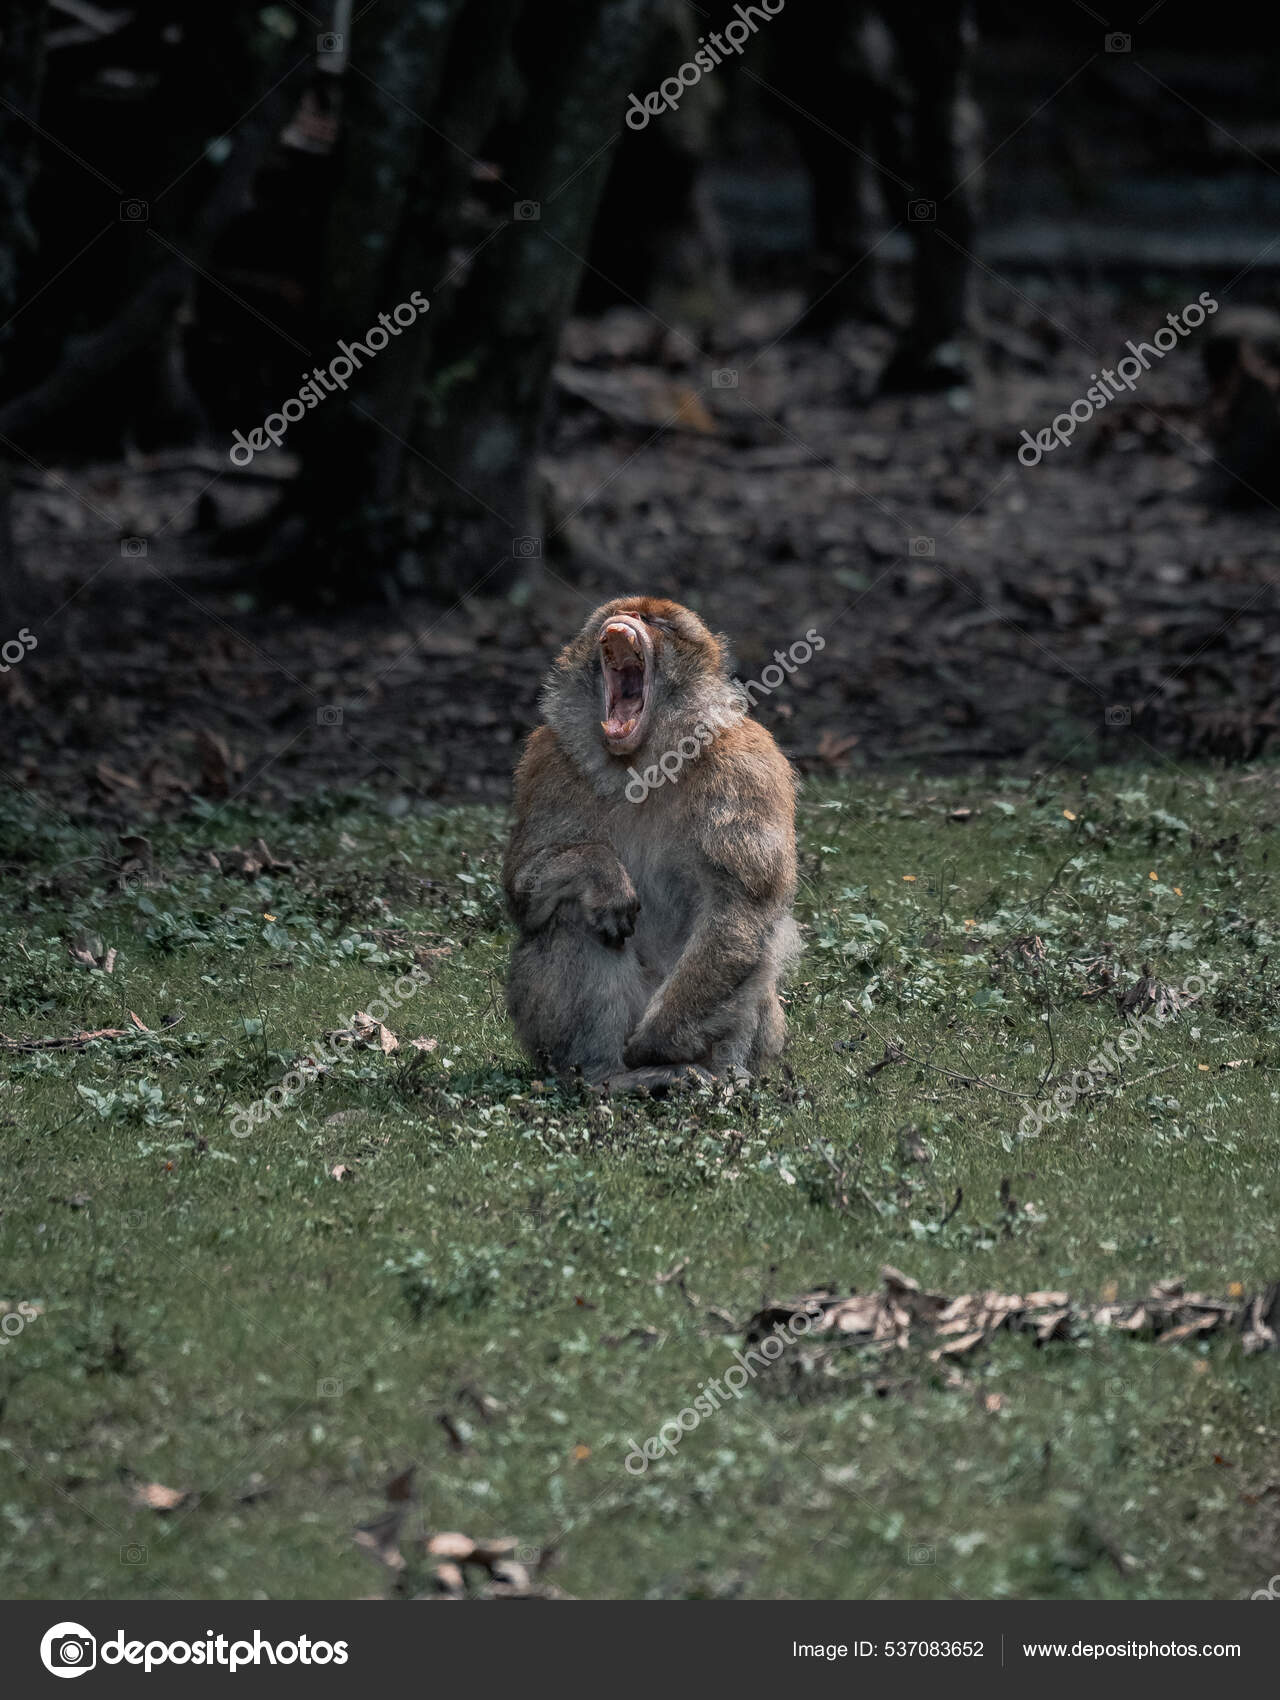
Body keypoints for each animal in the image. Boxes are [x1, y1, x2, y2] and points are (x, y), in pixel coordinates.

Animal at [503, 597, 801, 1092]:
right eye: (619, 612)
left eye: (656, 621)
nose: (624, 620)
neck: (644, 765)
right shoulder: (548, 760)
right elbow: (522, 889)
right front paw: (601, 874)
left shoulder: (746, 768)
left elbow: (739, 906)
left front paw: (659, 1041)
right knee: (573, 918)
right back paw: (605, 1077)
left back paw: (716, 1075)